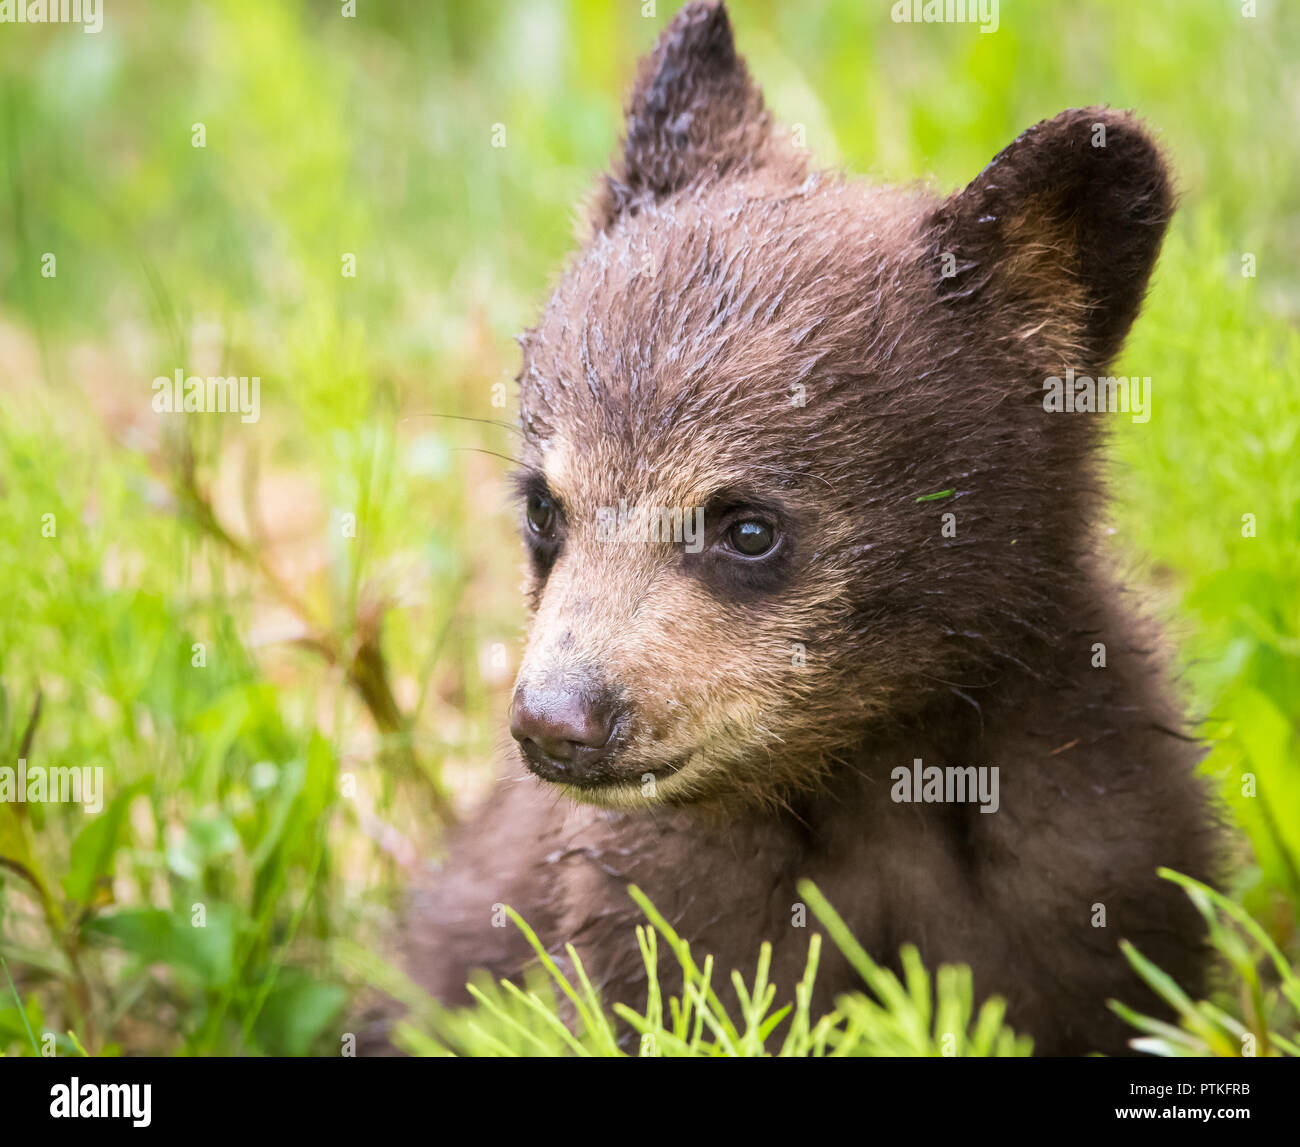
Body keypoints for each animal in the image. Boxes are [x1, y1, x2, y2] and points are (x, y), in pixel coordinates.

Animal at [397, 0, 1216, 1057]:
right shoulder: (642, 910)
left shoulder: (1105, 866)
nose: (558, 721)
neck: (872, 778)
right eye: (544, 505)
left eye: (748, 527)